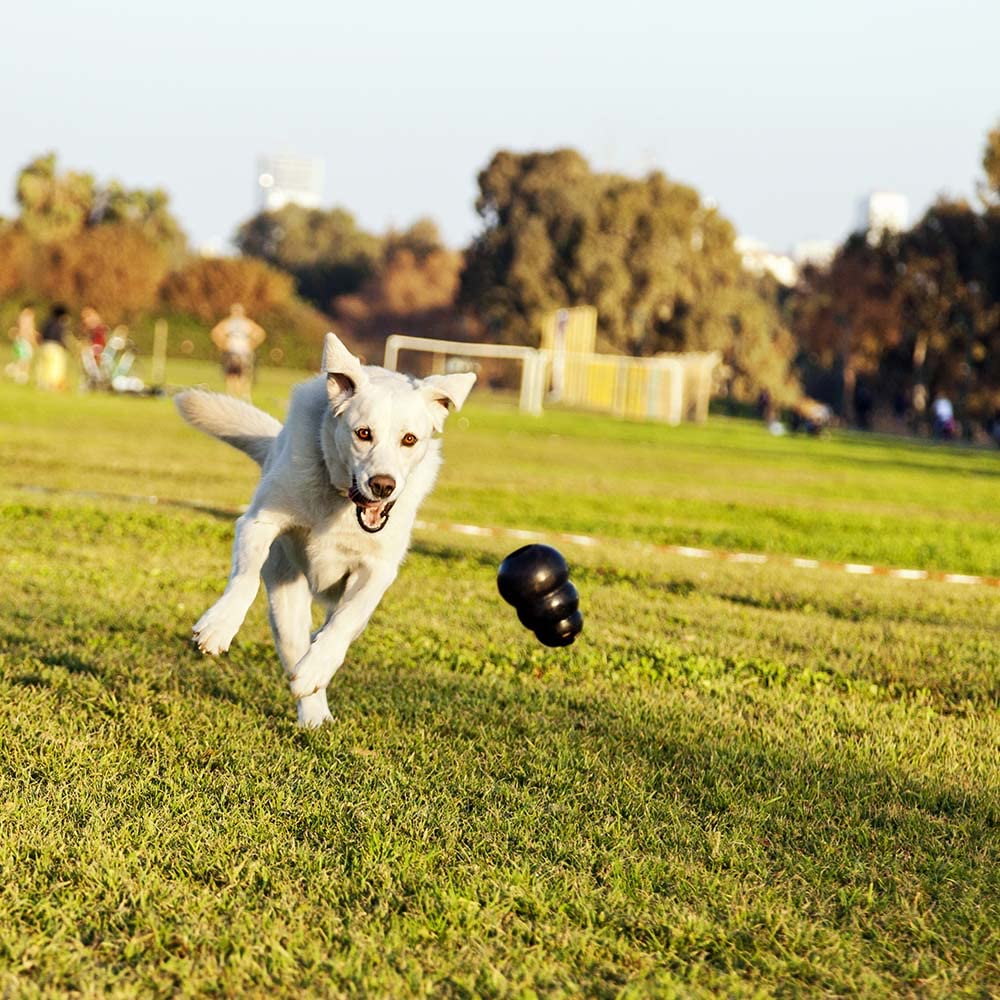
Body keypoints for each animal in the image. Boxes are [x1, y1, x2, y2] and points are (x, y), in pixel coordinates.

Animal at [176, 334, 476, 728]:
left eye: (409, 439)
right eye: (363, 433)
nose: (383, 486)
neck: (340, 501)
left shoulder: (378, 570)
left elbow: (346, 621)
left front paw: (318, 665)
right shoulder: (258, 523)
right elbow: (245, 578)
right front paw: (219, 625)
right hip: (286, 598)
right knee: (294, 643)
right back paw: (313, 712)